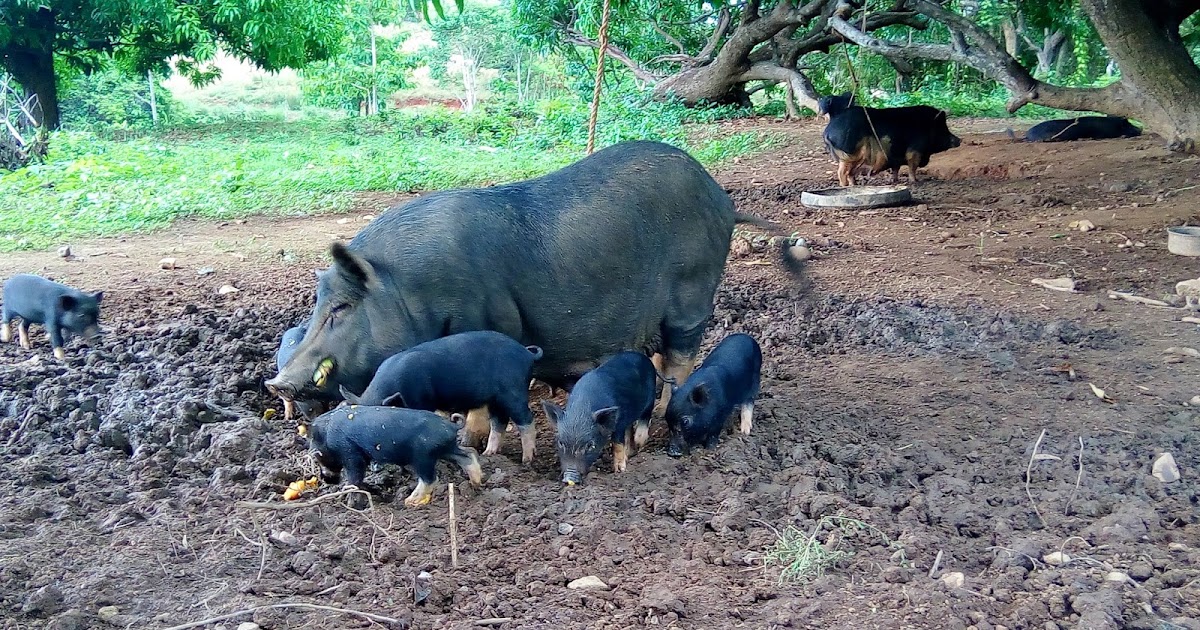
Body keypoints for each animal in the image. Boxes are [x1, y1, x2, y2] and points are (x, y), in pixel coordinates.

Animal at [266, 140, 804, 420]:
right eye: (317, 304)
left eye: (341, 308)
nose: (277, 382)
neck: (414, 289)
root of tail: (723, 199)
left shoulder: (490, 319)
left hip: (693, 288)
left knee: (682, 352)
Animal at [308, 405, 483, 508]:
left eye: (318, 457)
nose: (327, 480)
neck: (326, 435)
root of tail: (451, 426)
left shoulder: (351, 454)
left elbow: (354, 480)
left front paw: (350, 505)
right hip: (446, 449)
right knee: (468, 454)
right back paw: (476, 483)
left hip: (422, 456)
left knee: (430, 479)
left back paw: (410, 502)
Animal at [338, 330, 544, 463]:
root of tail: (526, 353)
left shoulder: (422, 401)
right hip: (494, 398)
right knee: (499, 420)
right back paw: (488, 454)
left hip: (513, 390)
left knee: (526, 419)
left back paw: (527, 460)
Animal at [540, 351, 656, 485]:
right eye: (560, 442)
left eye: (590, 445)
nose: (570, 477)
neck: (581, 411)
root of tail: (640, 355)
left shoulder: (619, 422)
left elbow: (617, 443)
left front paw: (620, 470)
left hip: (651, 397)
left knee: (645, 417)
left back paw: (639, 441)